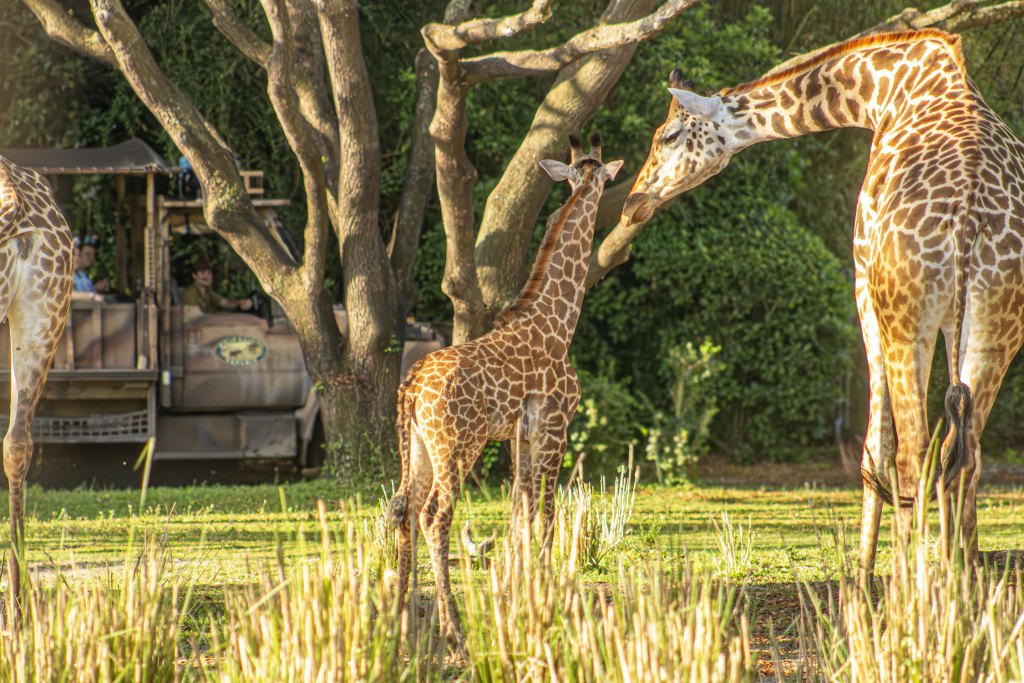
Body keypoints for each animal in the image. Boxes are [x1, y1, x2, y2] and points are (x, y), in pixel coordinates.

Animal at [388, 133, 622, 648]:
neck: (558, 323)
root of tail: (411, 387)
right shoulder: (555, 426)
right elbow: (548, 512)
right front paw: (548, 601)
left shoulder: (521, 436)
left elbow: (520, 512)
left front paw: (518, 599)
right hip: (458, 445)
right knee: (434, 515)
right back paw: (452, 629)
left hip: (416, 447)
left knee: (404, 510)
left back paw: (402, 620)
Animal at [620, 29, 1024, 578]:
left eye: (669, 135)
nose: (632, 202)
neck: (883, 90)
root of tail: (968, 221)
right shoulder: (945, 323)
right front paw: (950, 565)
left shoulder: (862, 280)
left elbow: (877, 442)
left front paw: (864, 571)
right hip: (995, 330)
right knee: (965, 452)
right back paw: (960, 582)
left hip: (904, 321)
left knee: (914, 451)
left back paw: (908, 584)